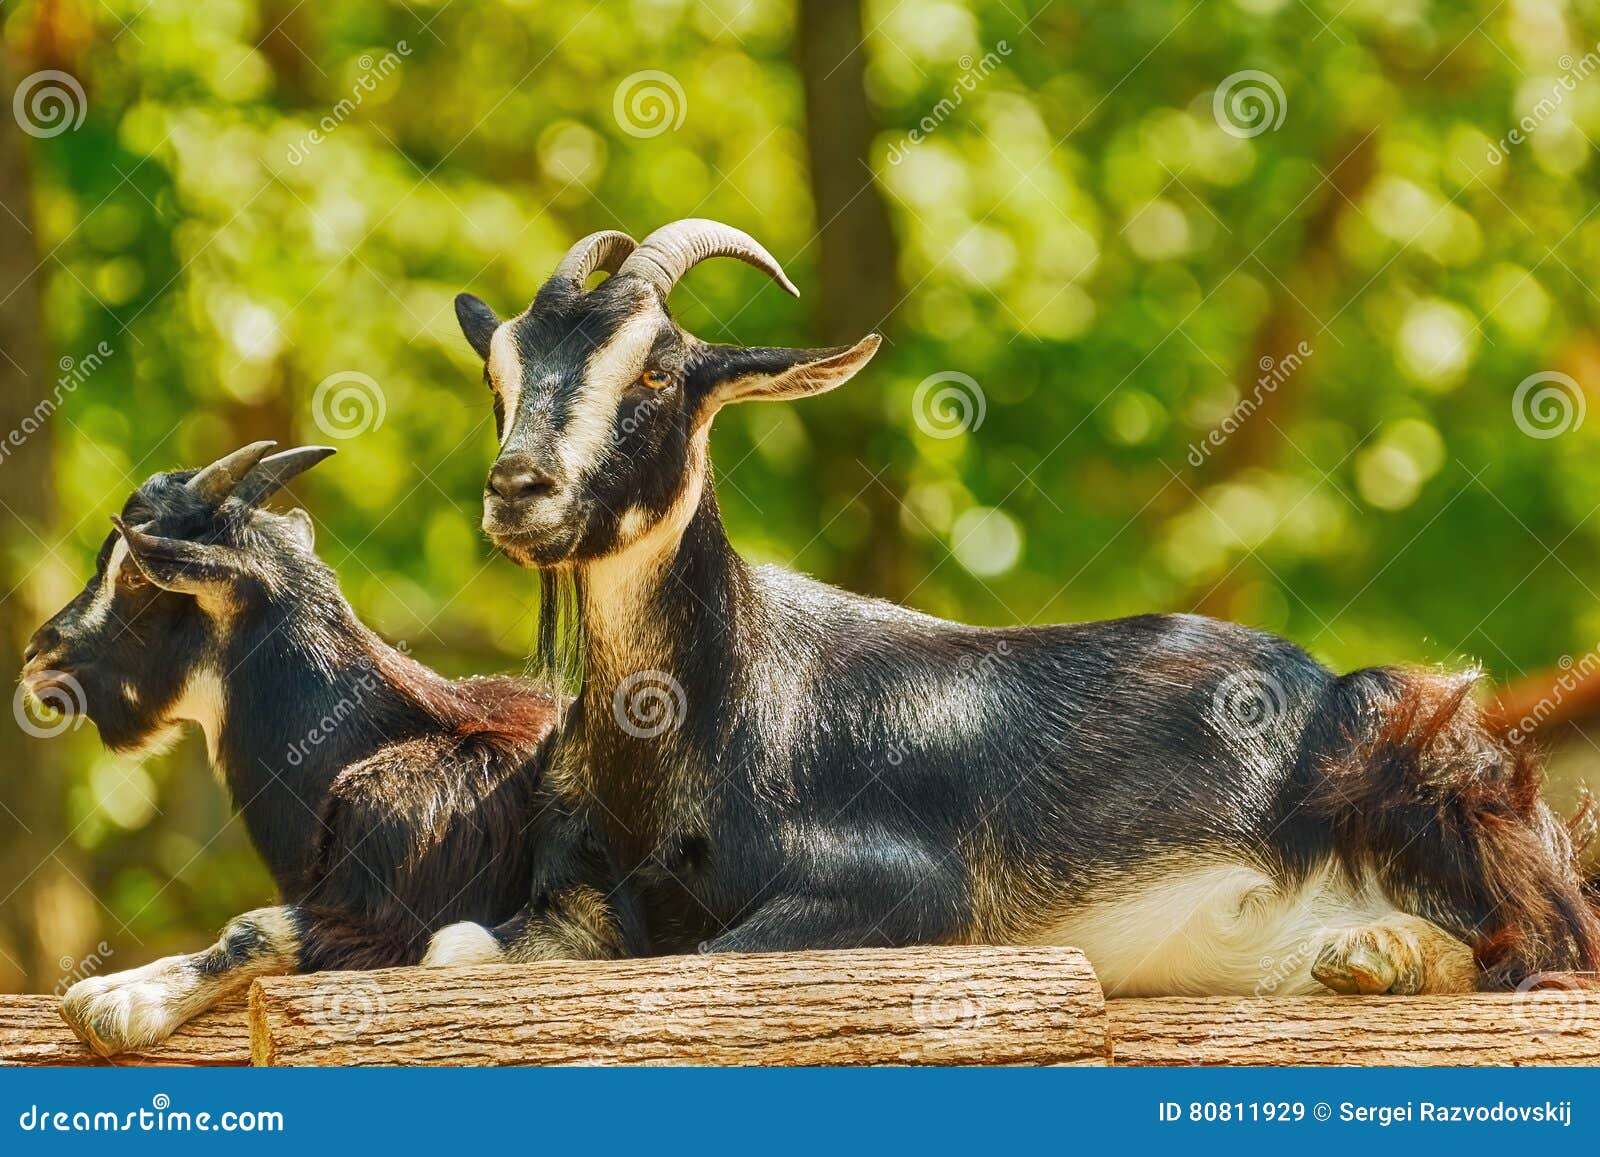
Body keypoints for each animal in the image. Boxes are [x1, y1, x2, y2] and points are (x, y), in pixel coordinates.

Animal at [425, 219, 1600, 998]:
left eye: (658, 374)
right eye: (498, 377)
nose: (519, 486)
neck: (713, 708)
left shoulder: (912, 892)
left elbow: (706, 953)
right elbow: (450, 948)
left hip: (1407, 739)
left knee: (1551, 938)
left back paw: (1377, 953)